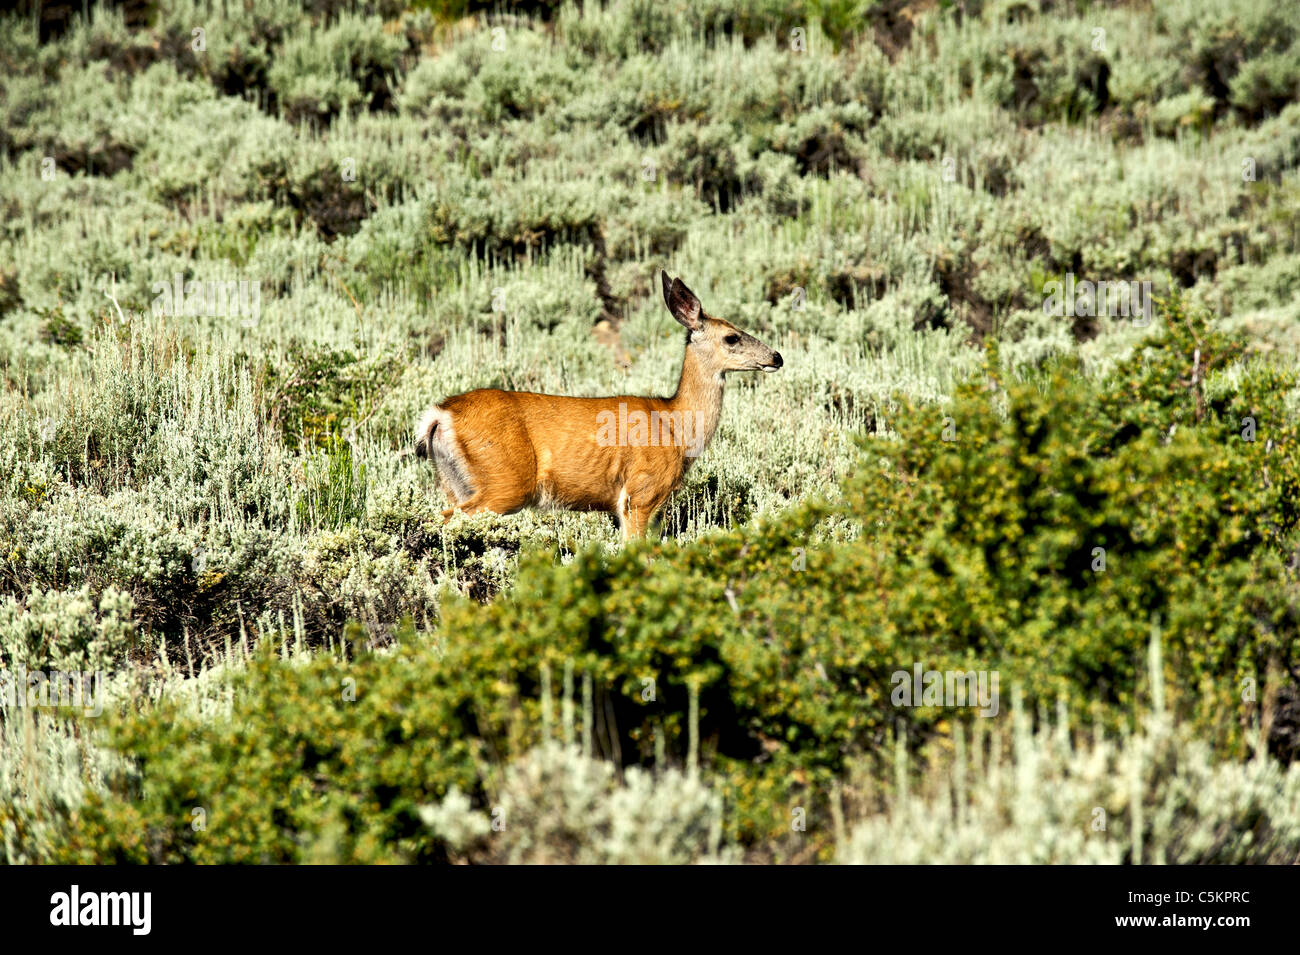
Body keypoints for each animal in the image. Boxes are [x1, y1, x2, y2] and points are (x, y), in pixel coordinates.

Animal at [413, 270, 783, 538]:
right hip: (504, 481)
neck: (675, 425)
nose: (776, 357)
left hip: (454, 481)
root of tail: (440, 415)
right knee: (447, 519)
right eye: (732, 336)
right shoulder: (641, 493)